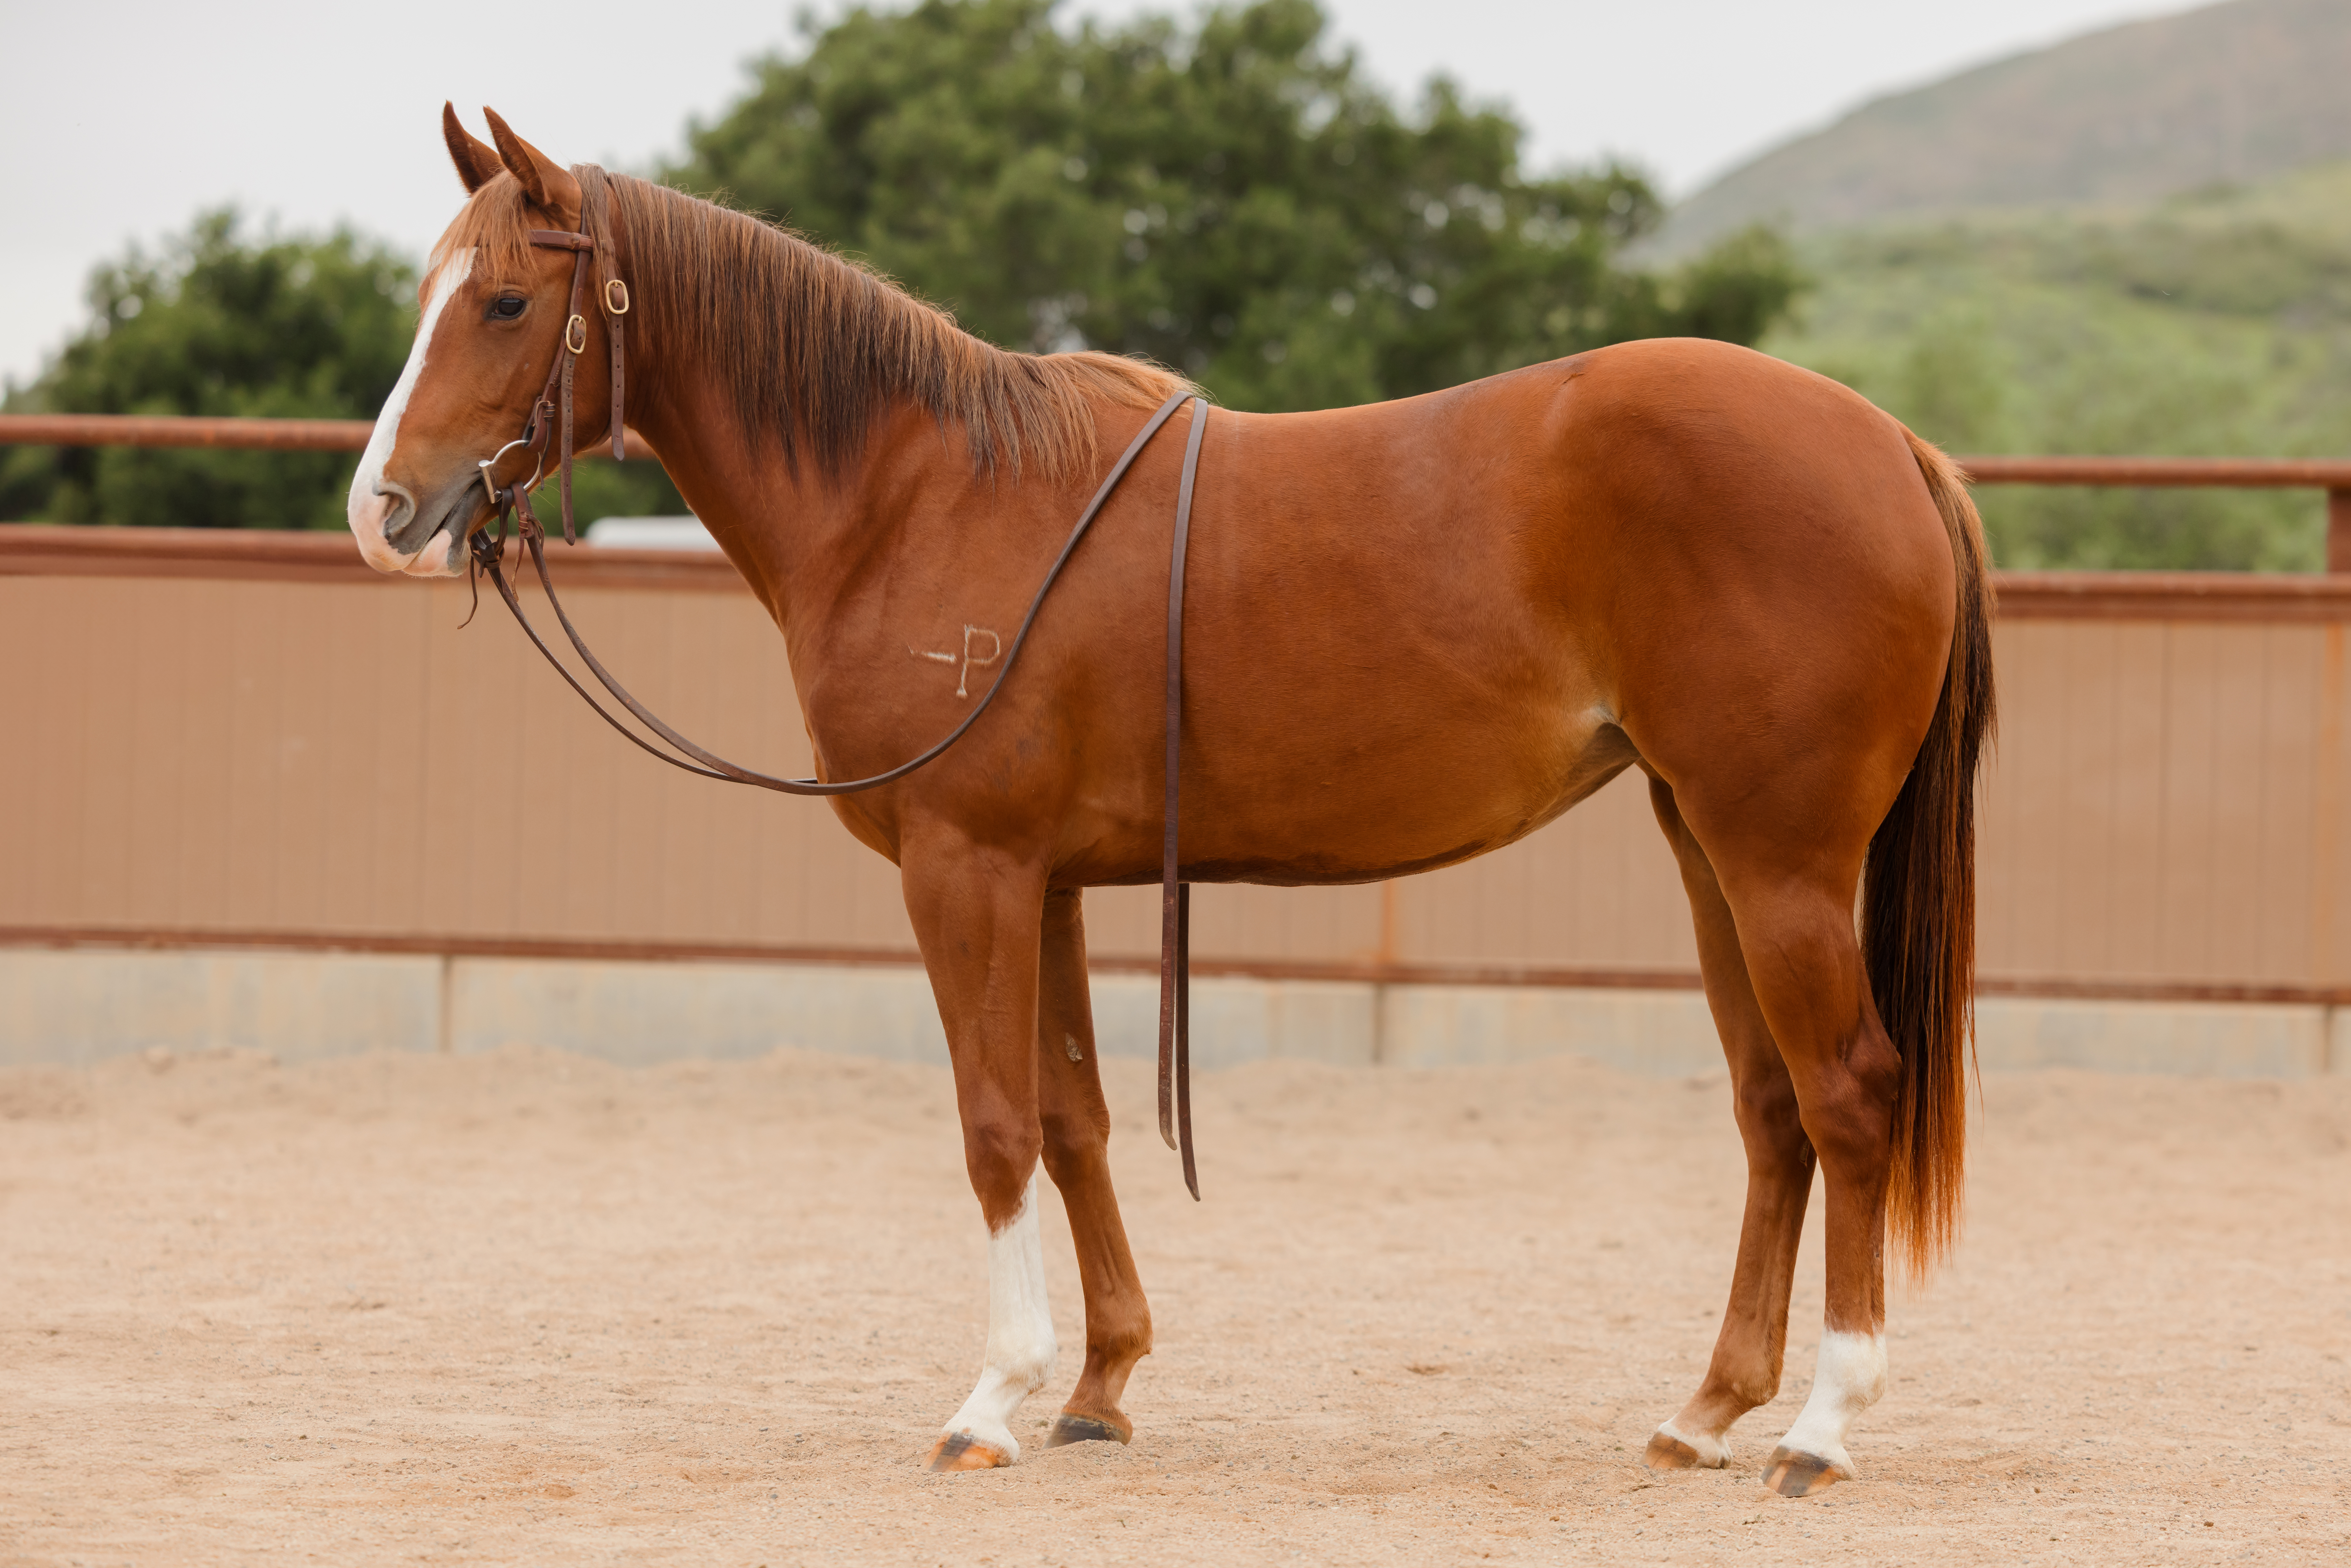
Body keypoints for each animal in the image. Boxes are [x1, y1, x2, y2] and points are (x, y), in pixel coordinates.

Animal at [346, 106, 1993, 1498]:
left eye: (505, 303)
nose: (382, 508)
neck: (918, 496)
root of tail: (1891, 445)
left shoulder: (964, 867)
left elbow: (993, 1123)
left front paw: (989, 1399)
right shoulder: (1053, 878)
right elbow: (1071, 1117)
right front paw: (1097, 1382)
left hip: (1778, 858)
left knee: (1848, 1091)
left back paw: (1822, 1426)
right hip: (1703, 842)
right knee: (1771, 1108)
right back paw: (1704, 1409)